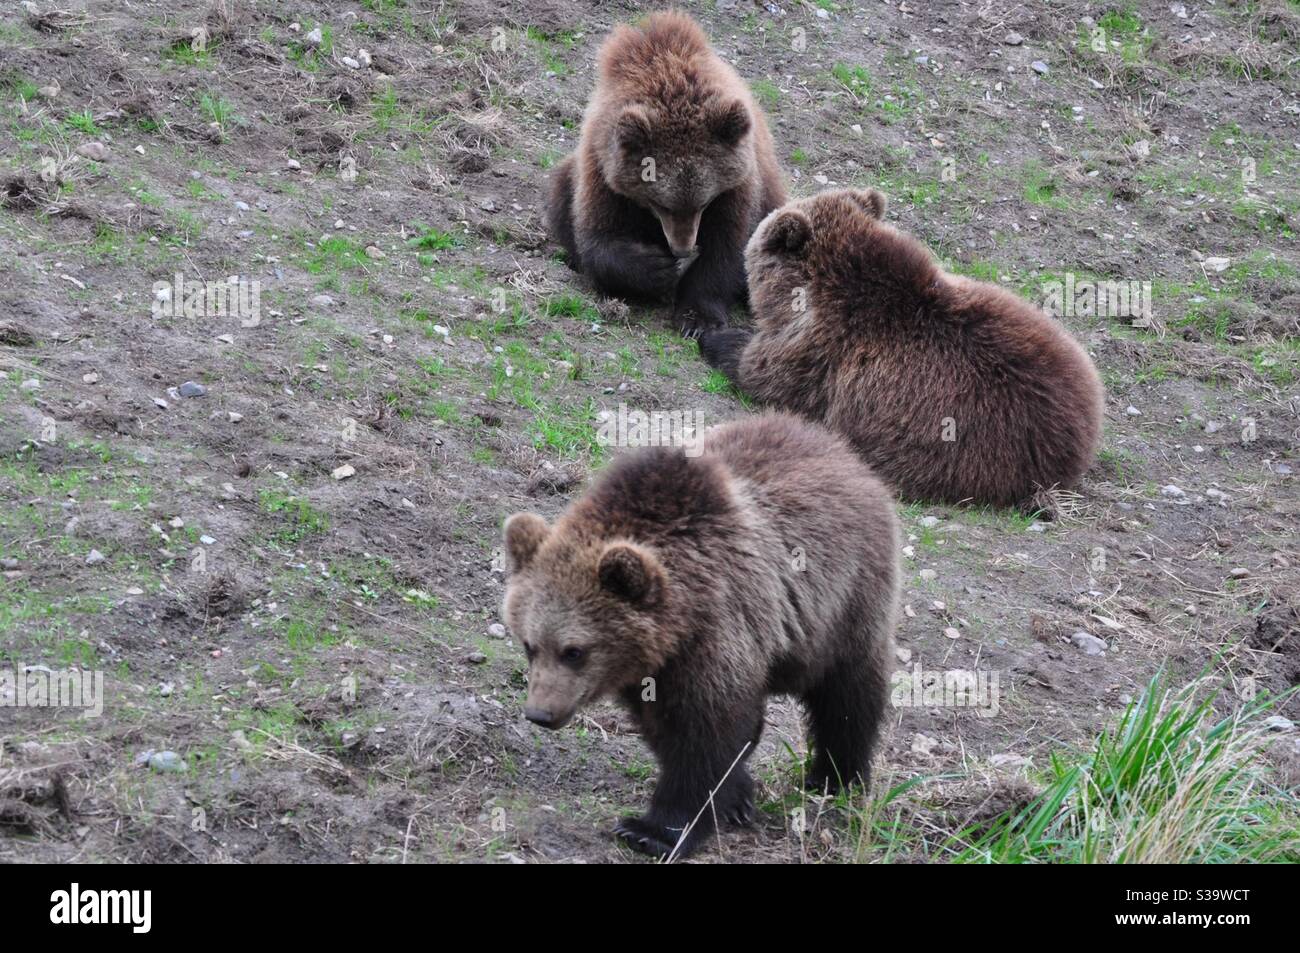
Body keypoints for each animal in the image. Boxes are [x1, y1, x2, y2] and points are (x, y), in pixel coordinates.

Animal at [502, 412, 899, 859]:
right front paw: (736, 797)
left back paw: (835, 776)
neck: (680, 621)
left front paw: (651, 830)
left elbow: (705, 734)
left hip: (844, 602)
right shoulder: (656, 666)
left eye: (574, 651)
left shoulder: (719, 627)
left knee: (847, 693)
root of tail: (844, 451)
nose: (540, 713)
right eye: (529, 645)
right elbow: (669, 729)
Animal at [545, 10, 786, 335]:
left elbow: (728, 245)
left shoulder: (739, 184)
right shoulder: (602, 168)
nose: (681, 248)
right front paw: (656, 266)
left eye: (703, 202)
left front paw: (698, 318)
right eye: (661, 204)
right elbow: (598, 236)